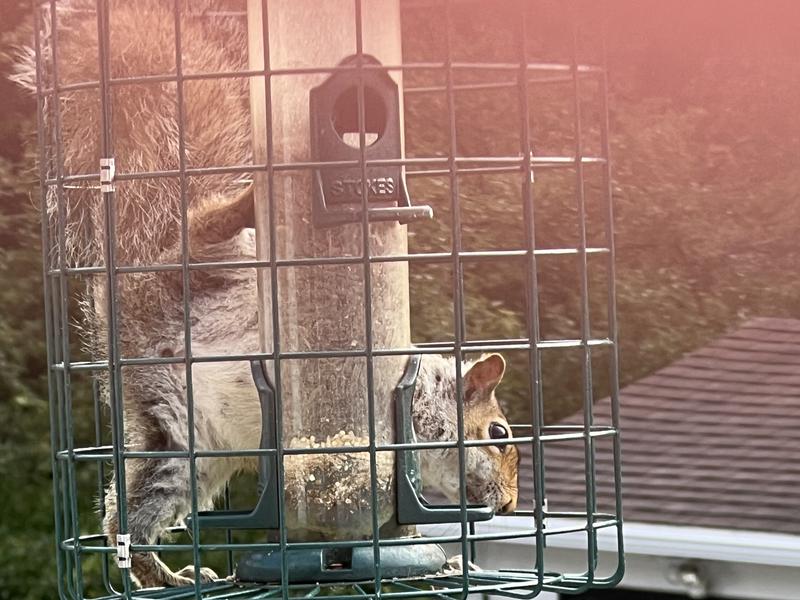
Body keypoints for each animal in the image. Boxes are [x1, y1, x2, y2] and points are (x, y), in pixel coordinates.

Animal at [15, 0, 519, 589]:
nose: (510, 506)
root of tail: (127, 290)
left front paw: (456, 562)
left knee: (128, 516)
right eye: (499, 432)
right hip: (206, 269)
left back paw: (165, 576)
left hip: (185, 452)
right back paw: (247, 200)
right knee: (203, 229)